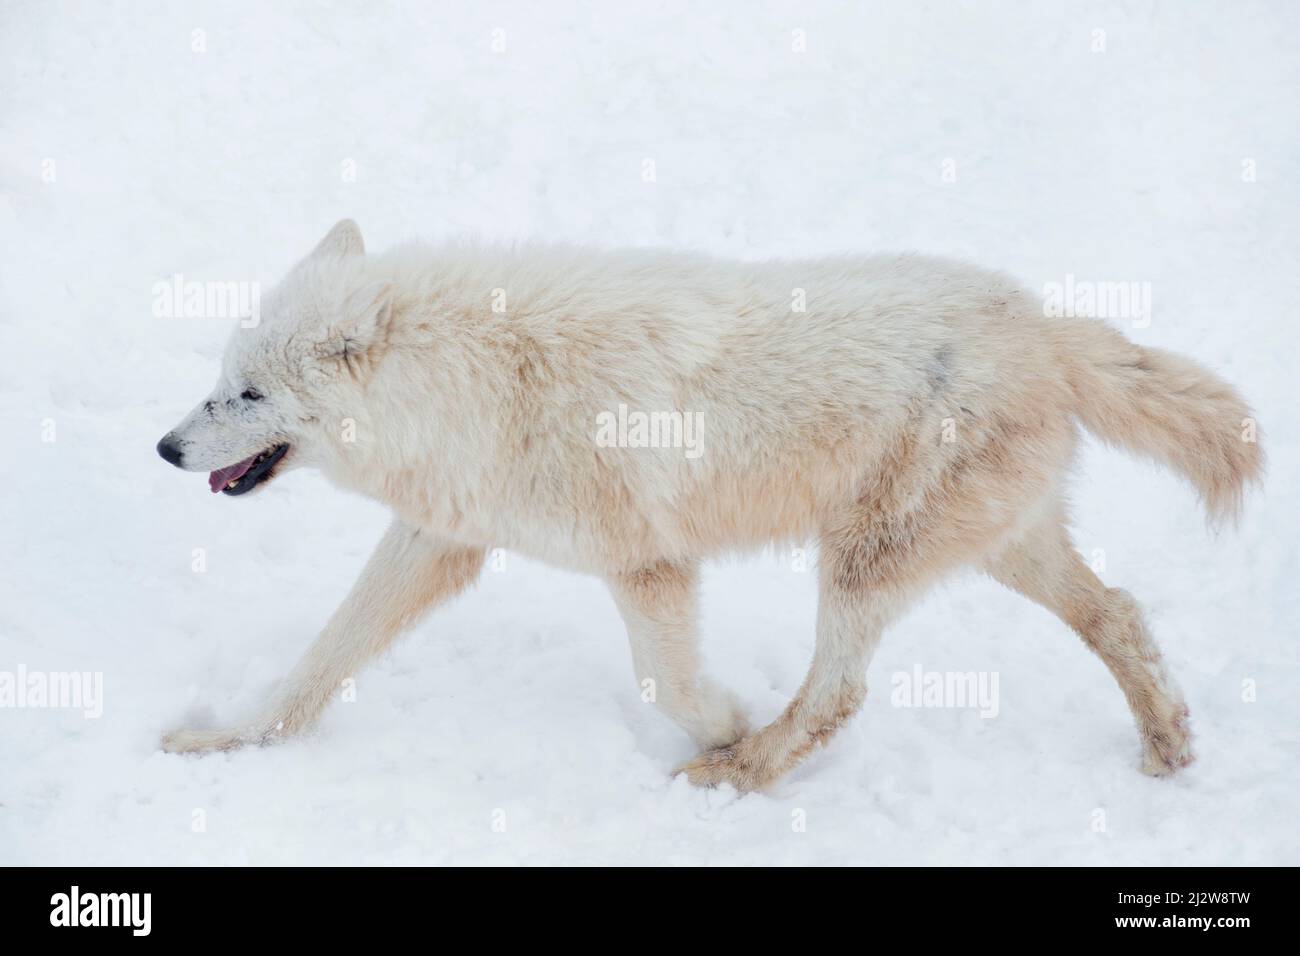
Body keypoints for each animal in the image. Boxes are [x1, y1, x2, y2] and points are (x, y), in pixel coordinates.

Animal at [157, 220, 1262, 790]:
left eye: (245, 394)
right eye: (220, 382)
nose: (166, 448)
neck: (479, 380)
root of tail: (1043, 327)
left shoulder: (647, 564)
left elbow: (671, 685)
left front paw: (721, 726)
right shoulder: (438, 539)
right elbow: (318, 663)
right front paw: (225, 743)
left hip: (863, 563)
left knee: (838, 695)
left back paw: (740, 769)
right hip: (995, 548)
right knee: (1118, 613)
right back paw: (1168, 747)